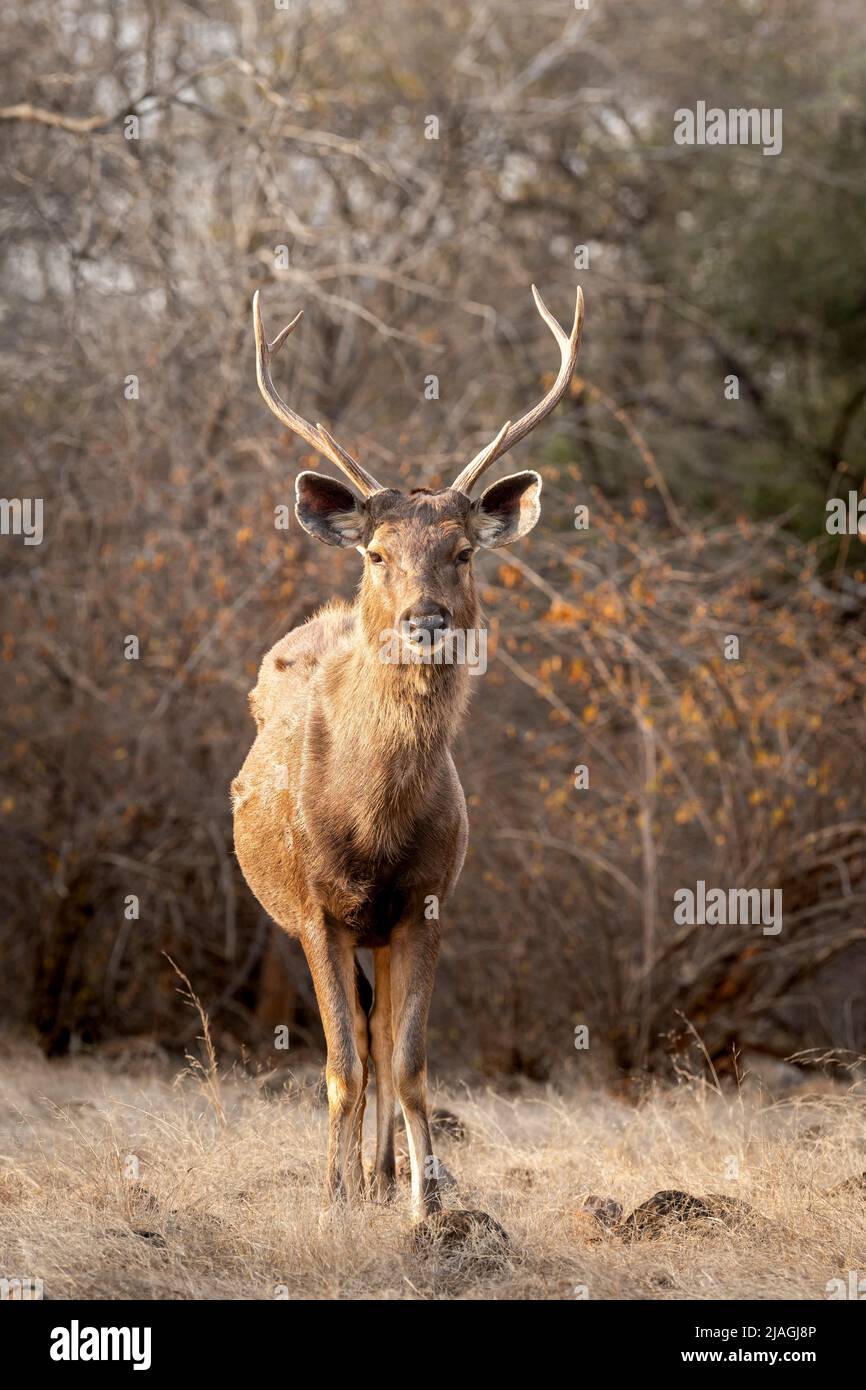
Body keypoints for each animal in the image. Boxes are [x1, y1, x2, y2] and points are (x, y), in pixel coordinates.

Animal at [232, 282, 584, 1221]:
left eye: (461, 551)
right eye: (378, 551)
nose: (425, 618)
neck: (371, 829)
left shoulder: (427, 902)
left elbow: (411, 1063)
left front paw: (431, 1202)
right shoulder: (315, 909)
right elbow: (340, 1069)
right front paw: (329, 1201)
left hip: (385, 932)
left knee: (386, 1037)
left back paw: (386, 1180)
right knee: (358, 1041)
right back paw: (356, 1181)